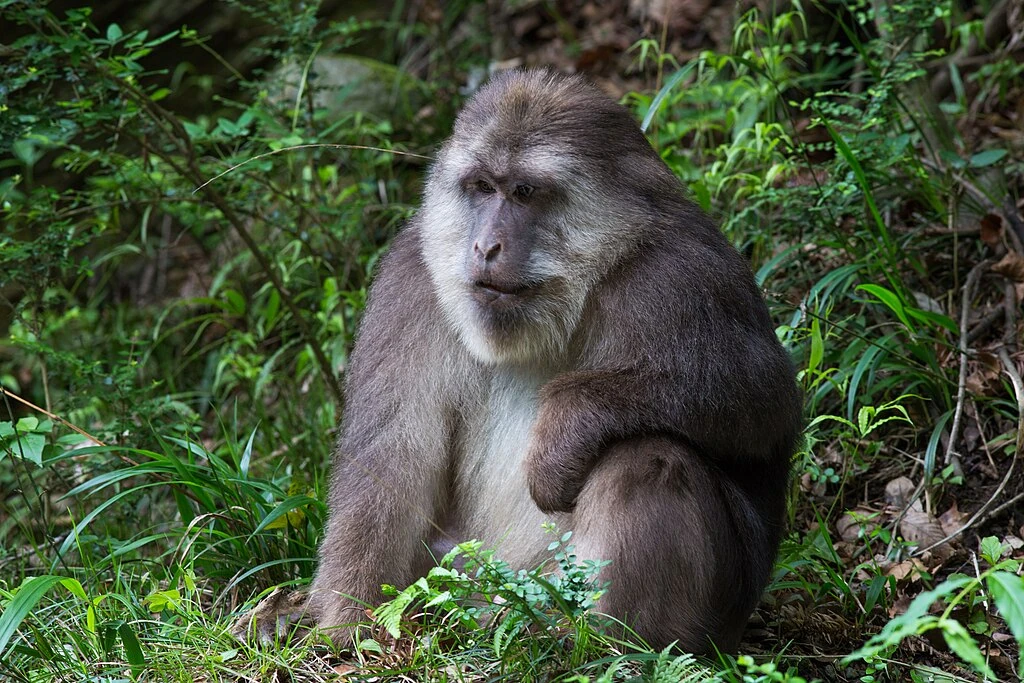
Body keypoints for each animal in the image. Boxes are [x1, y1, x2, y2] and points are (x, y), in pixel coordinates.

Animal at [255, 68, 802, 654]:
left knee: (647, 458)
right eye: (481, 188)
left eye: (523, 192)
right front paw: (341, 627)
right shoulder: (412, 281)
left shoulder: (681, 278)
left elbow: (762, 400)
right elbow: (390, 458)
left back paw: (595, 645)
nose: (485, 247)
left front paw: (567, 424)